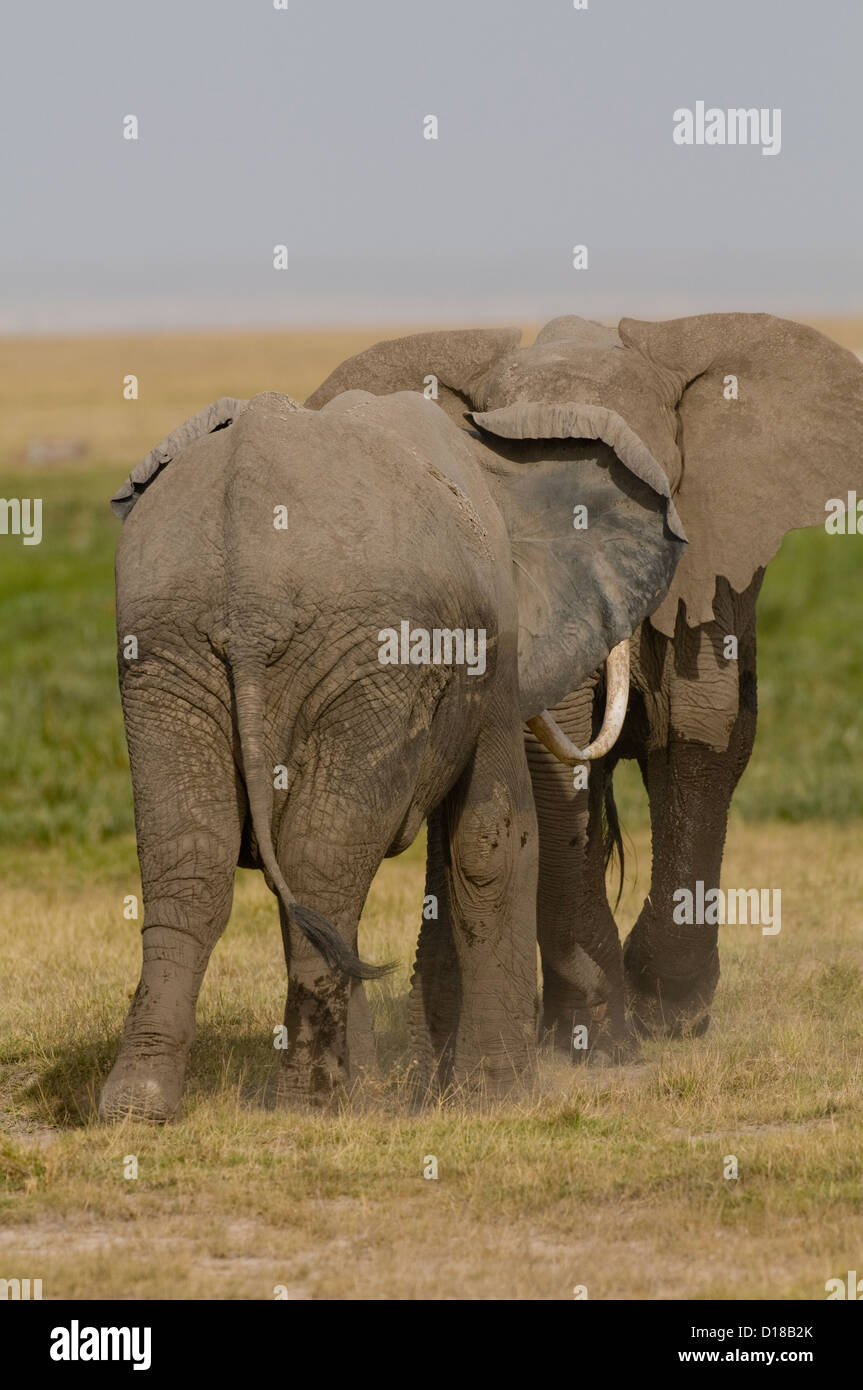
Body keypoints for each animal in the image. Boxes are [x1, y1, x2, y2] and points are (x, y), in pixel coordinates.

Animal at [99, 370, 684, 1121]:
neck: (493, 448)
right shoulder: (491, 644)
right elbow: (493, 840)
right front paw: (498, 1095)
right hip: (364, 654)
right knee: (316, 862)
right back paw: (316, 1099)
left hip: (166, 647)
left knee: (196, 862)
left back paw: (142, 1106)